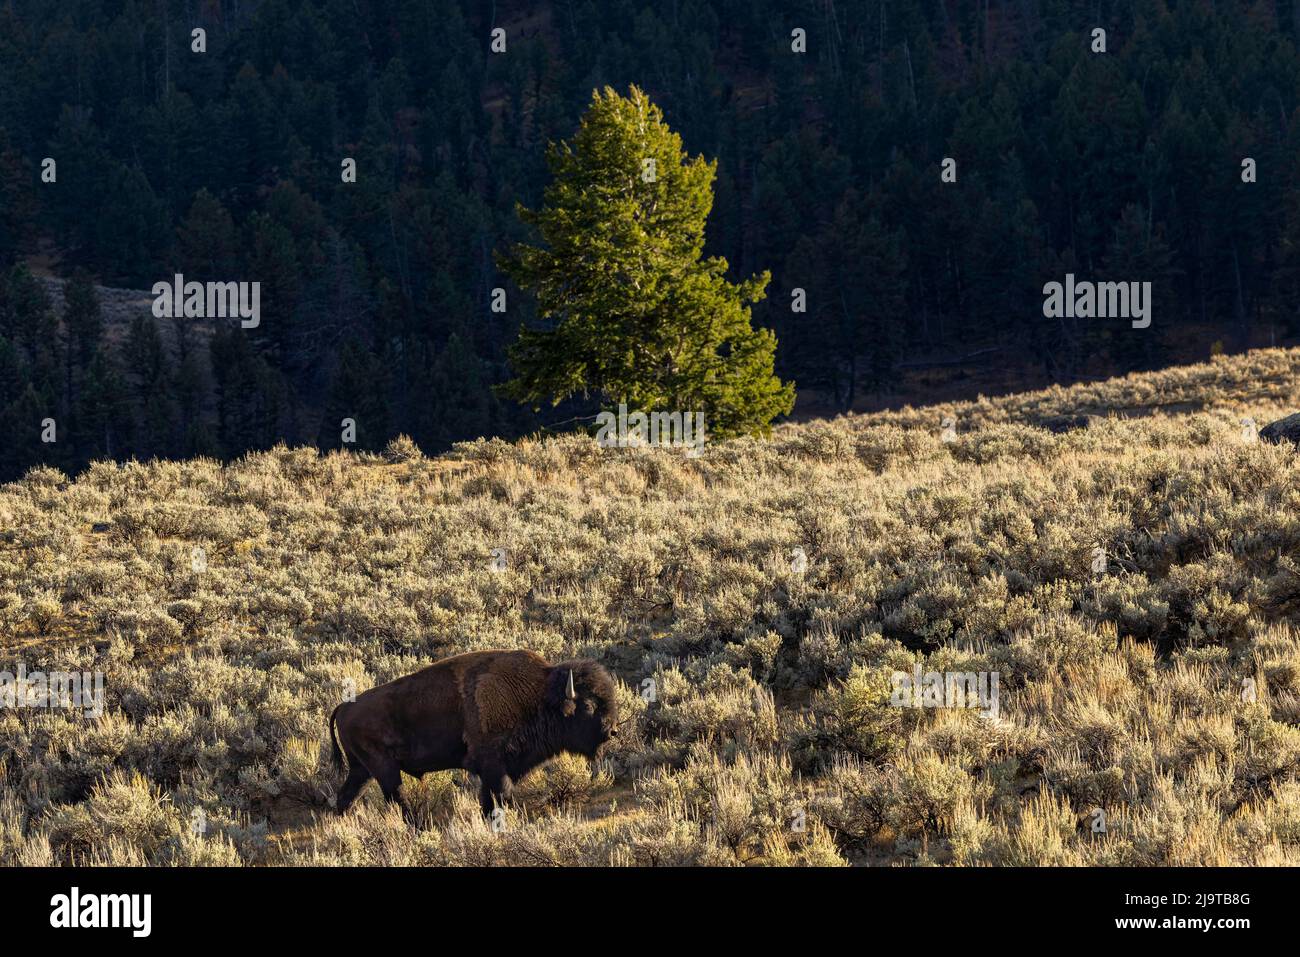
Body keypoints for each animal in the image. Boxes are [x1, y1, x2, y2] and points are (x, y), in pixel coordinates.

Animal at [328, 649, 619, 818]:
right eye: (589, 705)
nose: (612, 730)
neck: (538, 695)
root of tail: (344, 706)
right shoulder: (492, 765)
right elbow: (502, 795)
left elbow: (489, 798)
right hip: (384, 768)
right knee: (397, 799)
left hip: (362, 769)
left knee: (347, 797)